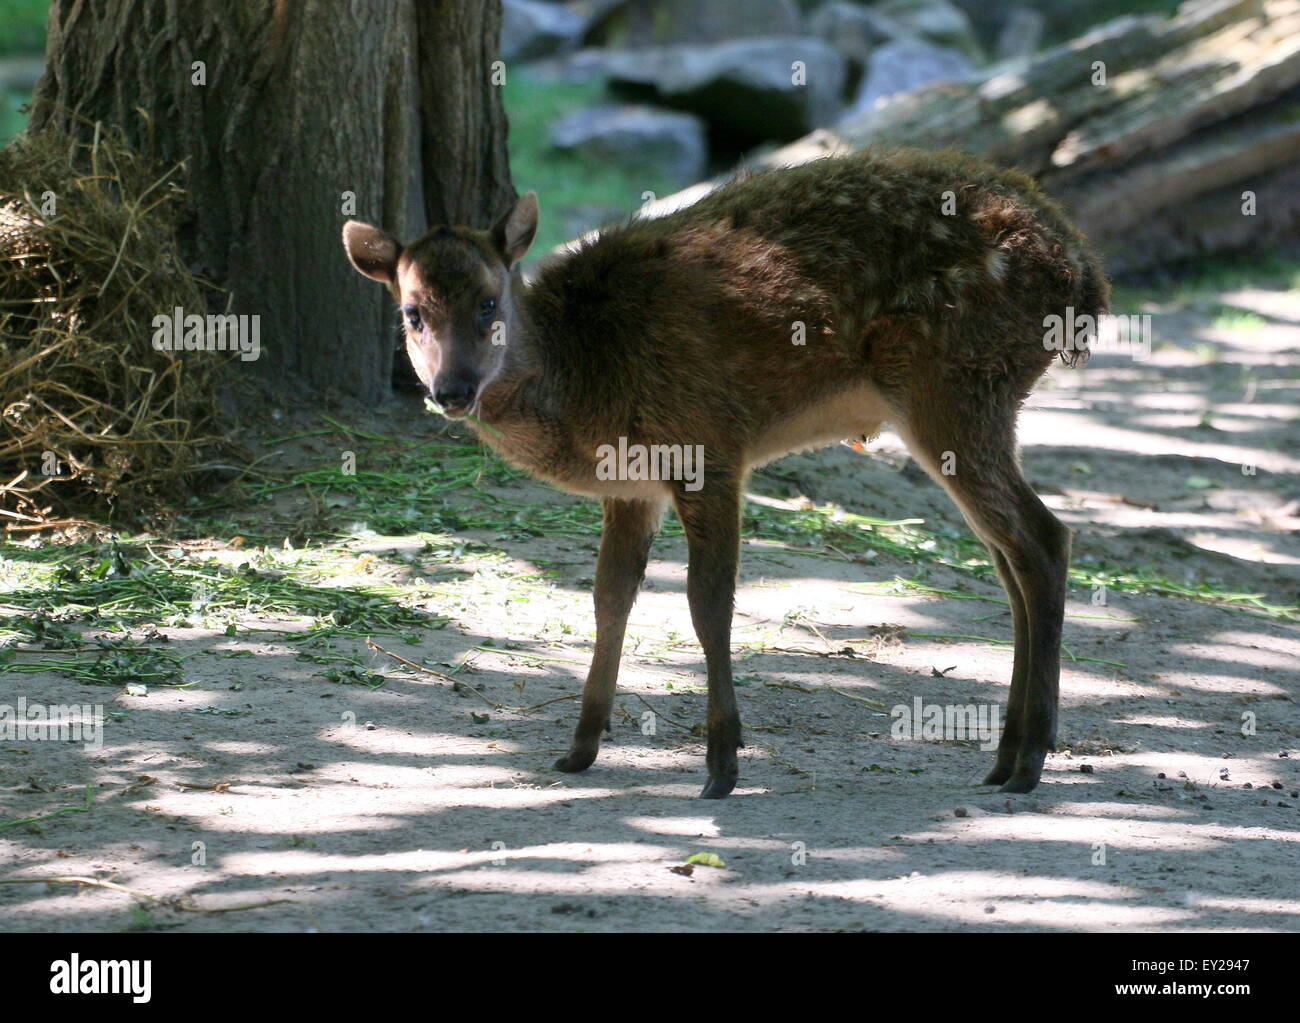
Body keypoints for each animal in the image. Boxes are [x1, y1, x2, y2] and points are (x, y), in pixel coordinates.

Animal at [342, 147, 1109, 799]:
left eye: (488, 302)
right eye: (412, 312)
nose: (452, 389)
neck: (584, 375)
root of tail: (1083, 277)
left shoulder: (708, 446)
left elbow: (707, 604)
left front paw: (722, 764)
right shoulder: (631, 483)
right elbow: (609, 599)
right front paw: (579, 748)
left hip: (950, 385)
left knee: (1044, 540)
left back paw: (1030, 760)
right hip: (971, 404)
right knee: (1010, 556)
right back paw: (1003, 755)